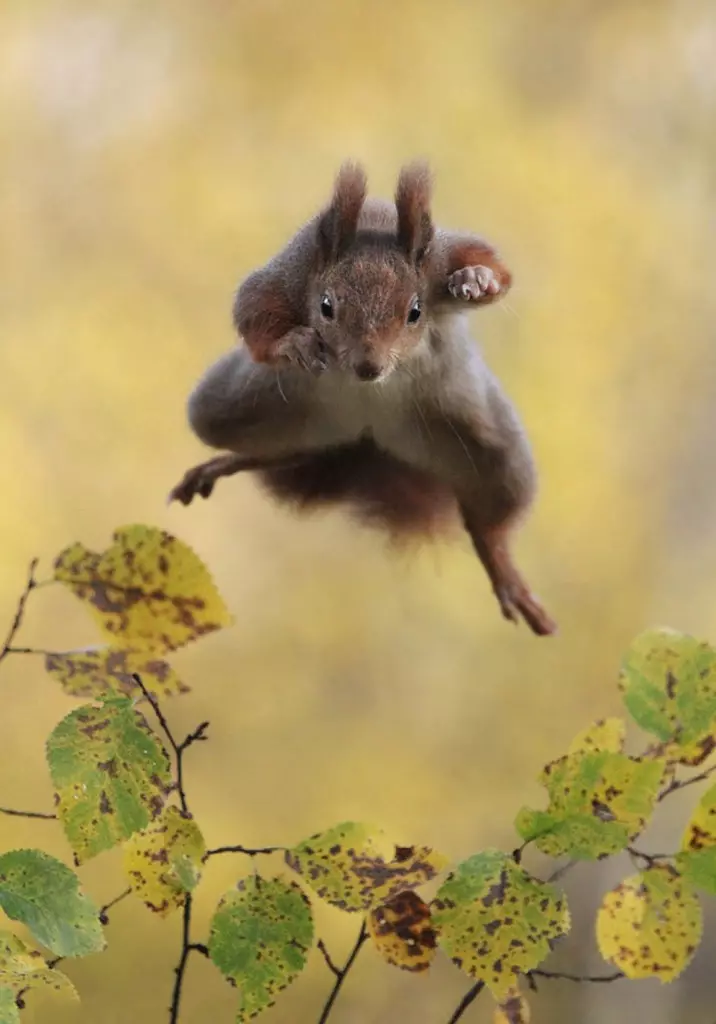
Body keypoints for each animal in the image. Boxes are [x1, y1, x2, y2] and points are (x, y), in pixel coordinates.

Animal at [171, 160, 557, 634]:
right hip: (235, 409)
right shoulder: (291, 271)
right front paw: (294, 343)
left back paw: (503, 569)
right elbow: (253, 309)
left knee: (489, 521)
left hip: (489, 446)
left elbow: (490, 264)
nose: (368, 368)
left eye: (415, 312)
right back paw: (225, 463)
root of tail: (366, 436)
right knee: (279, 451)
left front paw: (476, 279)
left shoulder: (442, 256)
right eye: (326, 307)